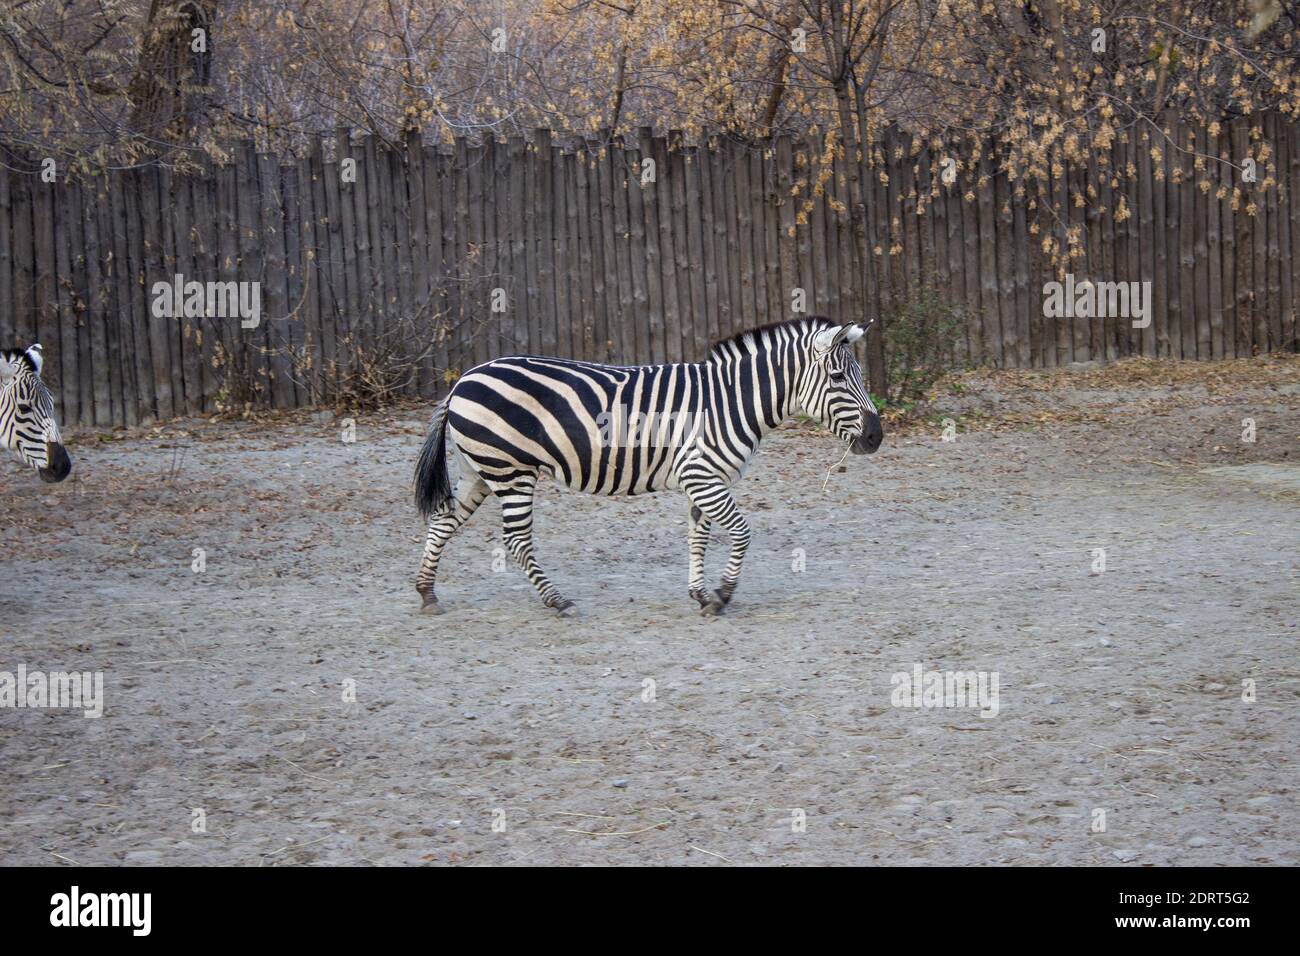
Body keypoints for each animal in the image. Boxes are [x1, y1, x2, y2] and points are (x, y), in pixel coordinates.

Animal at [413, 316, 882, 616]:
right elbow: (742, 533)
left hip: (480, 470)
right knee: (516, 540)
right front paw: (724, 594)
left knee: (443, 522)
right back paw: (557, 601)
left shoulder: (703, 480)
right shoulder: (702, 475)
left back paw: (427, 593)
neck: (731, 401)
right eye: (839, 377)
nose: (877, 437)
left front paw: (701, 596)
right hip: (510, 471)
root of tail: (463, 379)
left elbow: (698, 537)